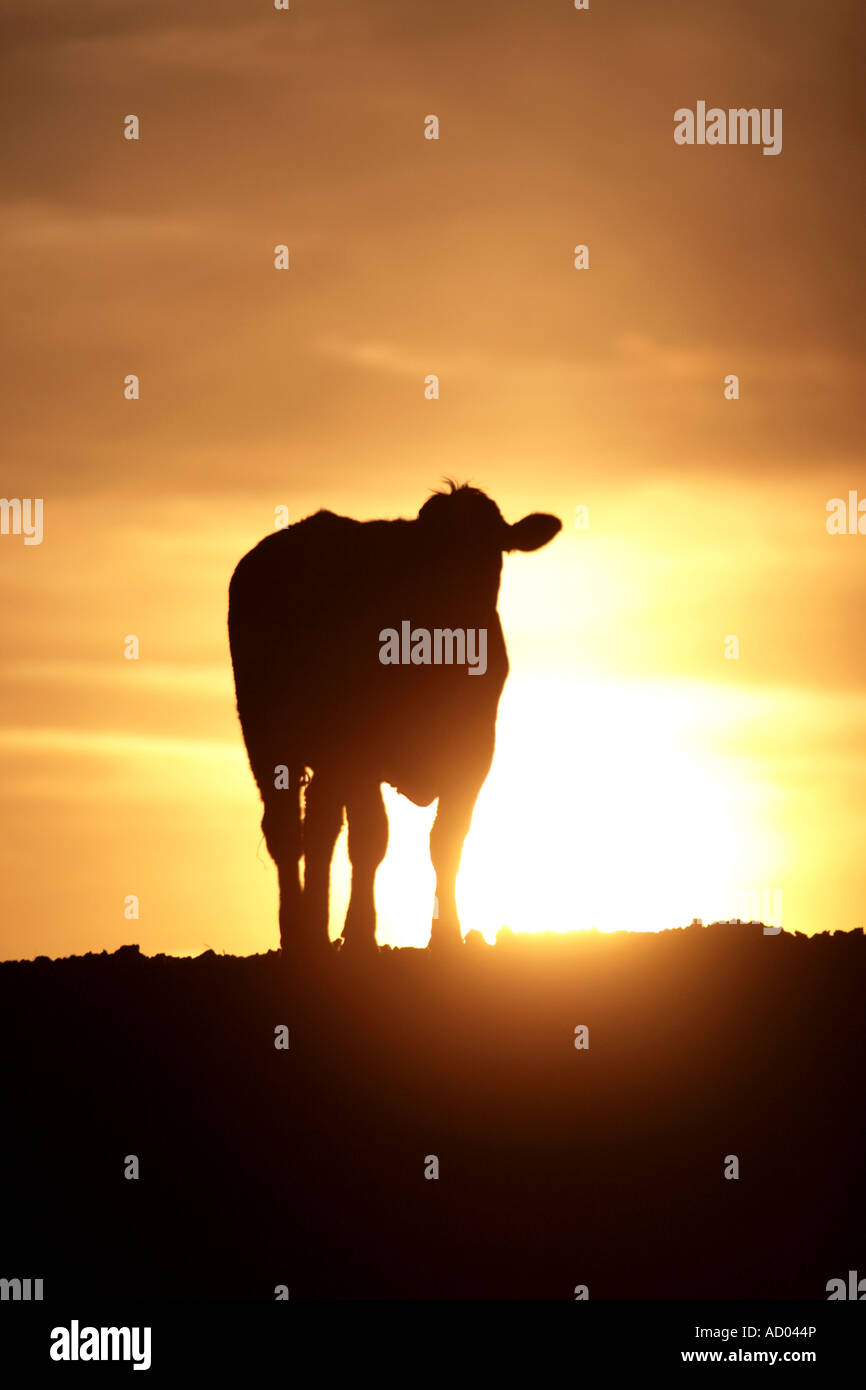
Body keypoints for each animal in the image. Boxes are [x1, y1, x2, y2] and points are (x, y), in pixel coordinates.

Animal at [227, 483, 561, 955]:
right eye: (430, 554)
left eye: (492, 550)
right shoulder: (360, 752)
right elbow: (371, 839)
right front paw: (361, 935)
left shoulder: (476, 752)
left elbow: (447, 841)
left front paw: (447, 934)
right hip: (268, 739)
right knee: (287, 832)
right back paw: (297, 934)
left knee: (321, 830)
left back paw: (317, 932)